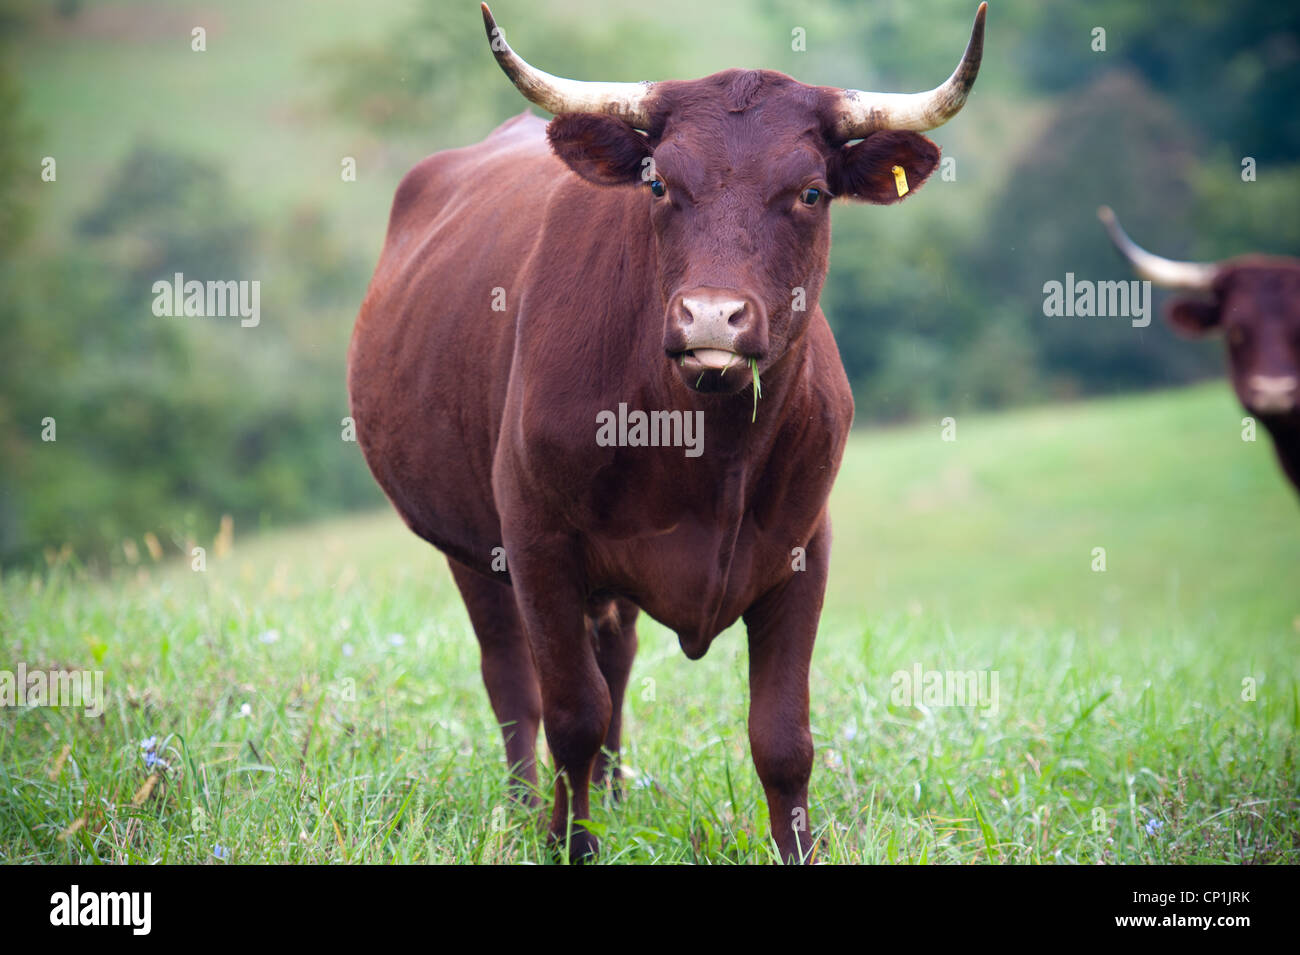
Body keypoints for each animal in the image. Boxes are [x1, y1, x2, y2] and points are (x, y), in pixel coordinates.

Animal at [347, 2, 986, 862]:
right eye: (659, 182)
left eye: (812, 191)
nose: (712, 316)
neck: (705, 450)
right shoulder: (537, 542)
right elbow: (570, 714)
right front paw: (569, 842)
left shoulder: (802, 549)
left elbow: (782, 736)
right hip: (471, 547)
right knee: (513, 680)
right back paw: (525, 807)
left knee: (614, 661)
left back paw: (614, 796)